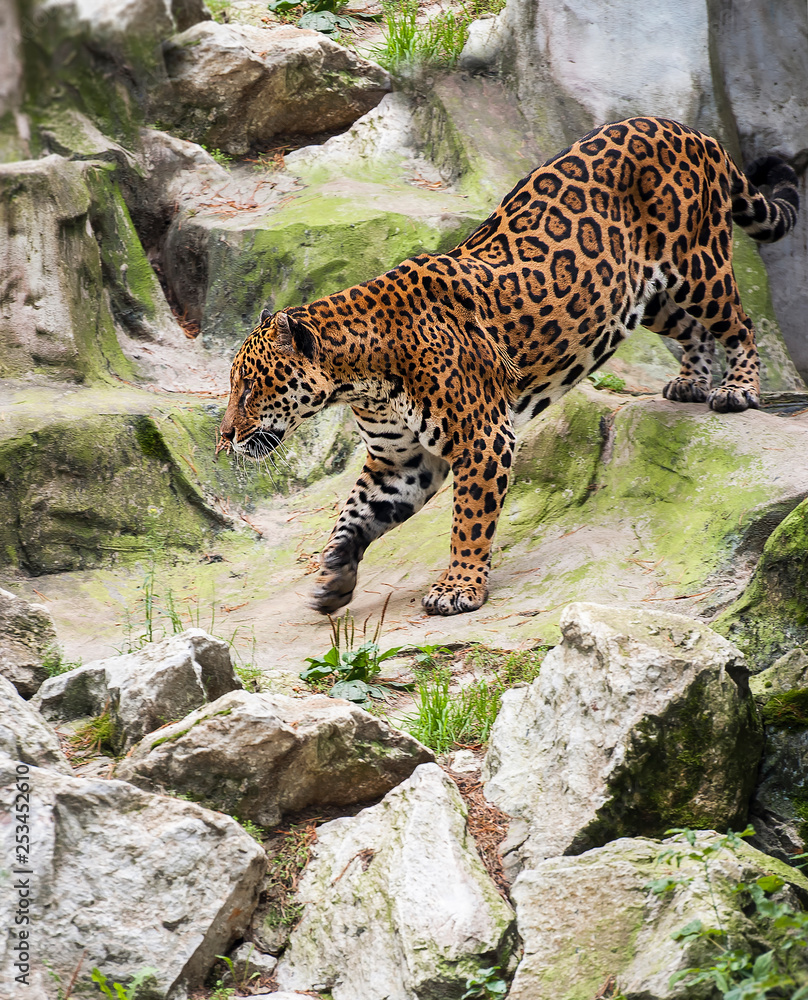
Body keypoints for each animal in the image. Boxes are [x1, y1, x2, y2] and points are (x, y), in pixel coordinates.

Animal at [217, 116, 799, 617]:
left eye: (247, 386)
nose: (224, 437)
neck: (362, 377)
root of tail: (689, 129)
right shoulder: (399, 462)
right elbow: (355, 514)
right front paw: (334, 576)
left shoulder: (482, 439)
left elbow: (469, 520)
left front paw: (458, 588)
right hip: (644, 296)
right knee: (693, 331)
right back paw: (690, 382)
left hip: (699, 265)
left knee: (738, 322)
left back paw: (737, 388)